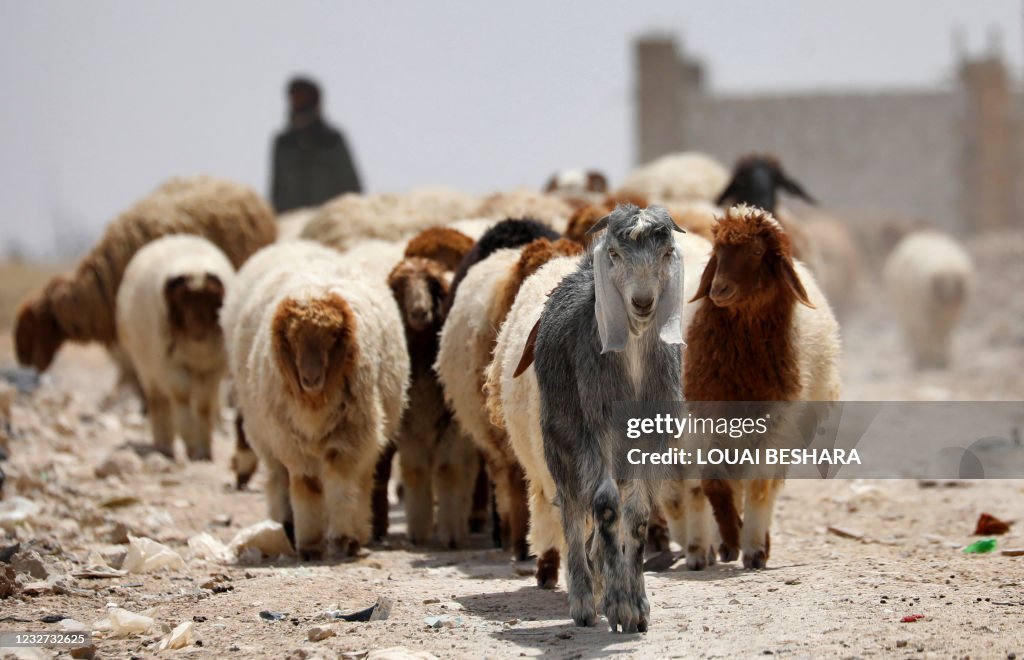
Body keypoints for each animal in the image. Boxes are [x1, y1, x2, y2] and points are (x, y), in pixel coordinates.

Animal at [115, 235, 234, 460]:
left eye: (212, 301)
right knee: (159, 402)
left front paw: (204, 450)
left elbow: (204, 407)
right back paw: (164, 445)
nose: (199, 335)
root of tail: (171, 237)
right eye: (181, 304)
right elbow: (181, 398)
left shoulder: (212, 369)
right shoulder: (171, 367)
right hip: (148, 368)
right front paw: (191, 445)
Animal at [221, 240, 409, 558]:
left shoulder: (350, 439)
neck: (314, 404)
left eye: (333, 337)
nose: (311, 379)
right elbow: (306, 485)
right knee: (279, 478)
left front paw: (345, 538)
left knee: (362, 479)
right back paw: (286, 524)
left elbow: (341, 482)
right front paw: (309, 544)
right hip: (267, 437)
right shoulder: (291, 440)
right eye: (292, 338)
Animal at [383, 256, 479, 546]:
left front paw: (449, 534)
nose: (419, 312)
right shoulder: (408, 423)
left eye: (431, 285)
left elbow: (448, 470)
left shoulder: (452, 424)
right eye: (400, 288)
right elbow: (415, 471)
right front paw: (417, 531)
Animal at [490, 204, 687, 631]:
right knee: (573, 510)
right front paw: (617, 604)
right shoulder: (593, 428)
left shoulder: (651, 436)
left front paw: (637, 605)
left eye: (666, 253)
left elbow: (638, 518)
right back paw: (584, 598)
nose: (642, 302)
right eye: (614, 253)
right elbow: (606, 507)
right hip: (559, 442)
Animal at [675, 204, 841, 570]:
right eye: (719, 251)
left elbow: (760, 484)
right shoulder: (704, 411)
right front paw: (731, 536)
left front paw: (751, 547)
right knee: (696, 487)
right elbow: (710, 482)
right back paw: (702, 549)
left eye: (755, 252)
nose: (718, 290)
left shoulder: (777, 417)